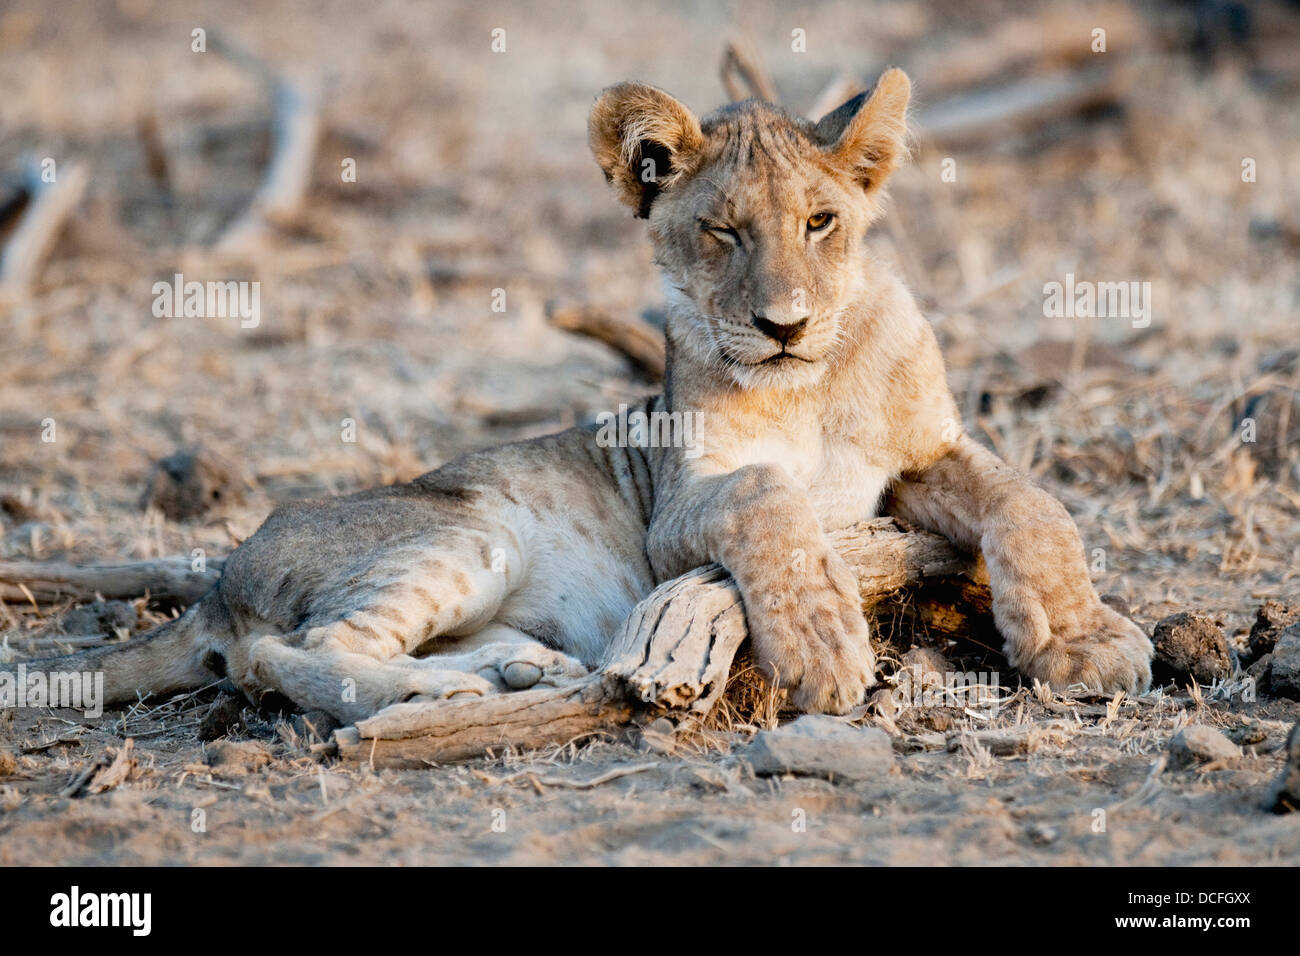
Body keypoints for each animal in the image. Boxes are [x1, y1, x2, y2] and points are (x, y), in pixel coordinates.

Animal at [4, 69, 1153, 725]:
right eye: (722, 230)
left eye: (821, 222)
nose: (781, 323)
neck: (814, 379)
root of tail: (218, 577)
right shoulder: (678, 513)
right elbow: (769, 502)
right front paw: (824, 646)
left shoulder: (922, 458)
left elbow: (1032, 502)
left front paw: (1082, 639)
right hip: (465, 531)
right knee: (291, 655)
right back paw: (442, 692)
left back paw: (526, 675)